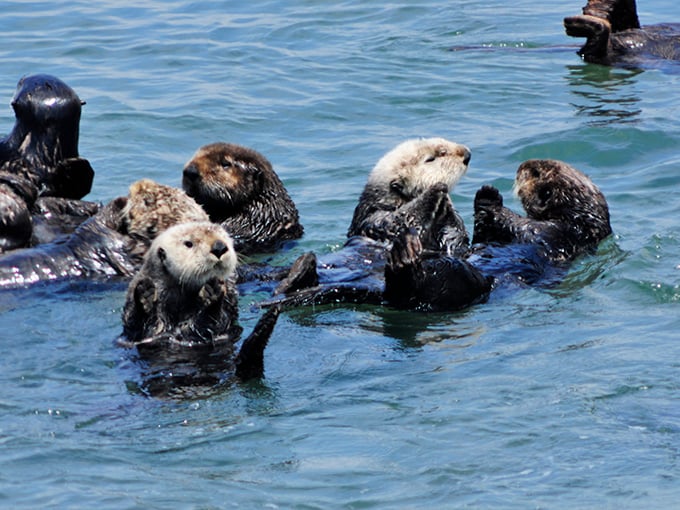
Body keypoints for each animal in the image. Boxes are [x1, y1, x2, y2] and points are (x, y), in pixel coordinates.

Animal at [119, 222, 280, 393]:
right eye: (188, 243)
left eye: (225, 237)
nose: (219, 247)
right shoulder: (138, 332)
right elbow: (141, 328)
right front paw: (145, 294)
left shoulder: (229, 304)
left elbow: (211, 326)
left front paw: (213, 292)